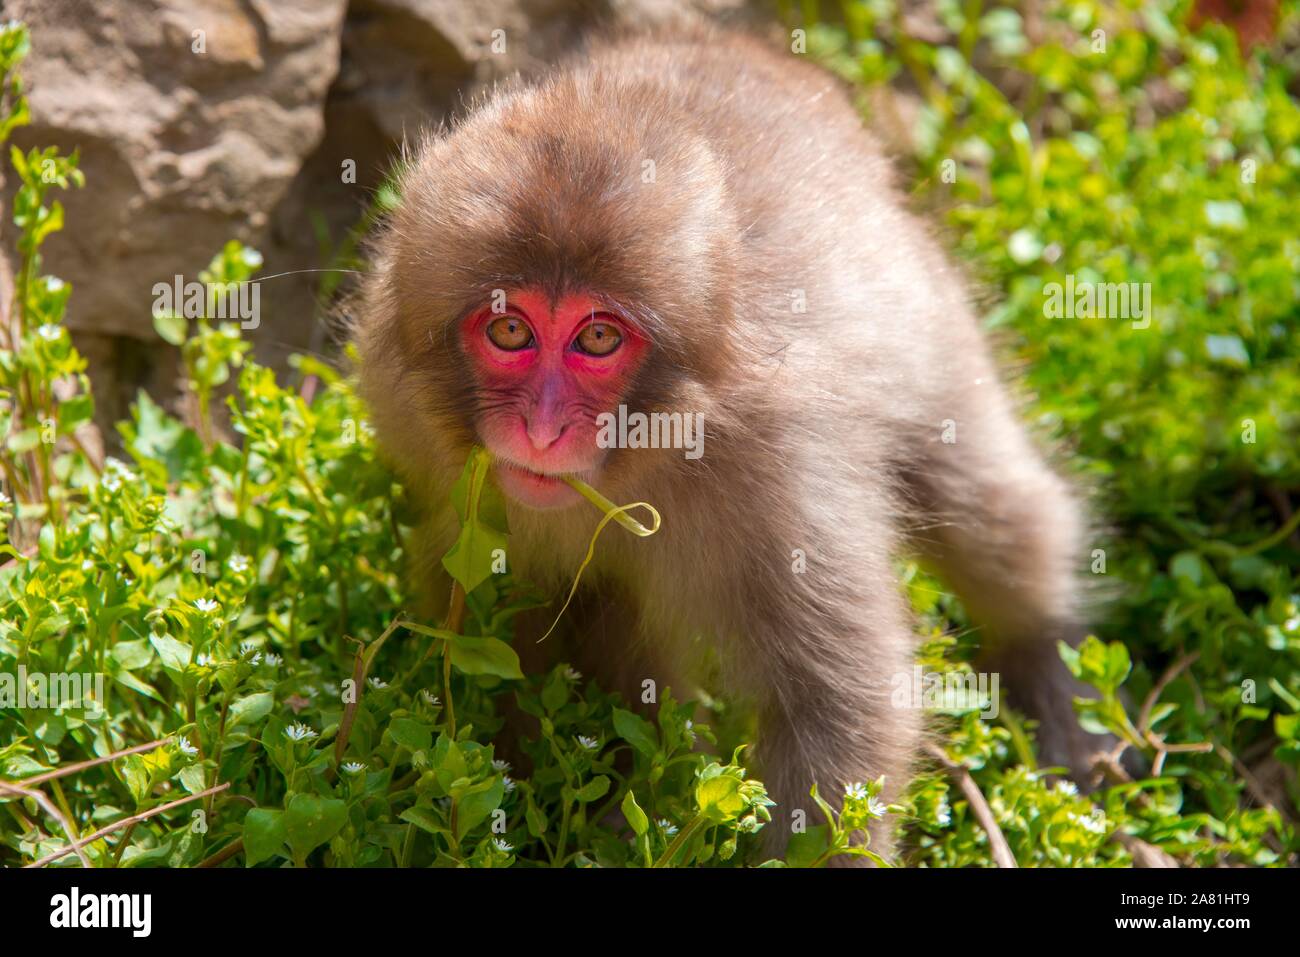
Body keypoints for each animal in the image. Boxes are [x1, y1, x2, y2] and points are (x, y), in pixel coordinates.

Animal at [352, 26, 1107, 861]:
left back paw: (1049, 663)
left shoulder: (783, 474)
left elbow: (837, 701)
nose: (542, 430)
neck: (635, 468)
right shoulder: (426, 442)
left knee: (988, 506)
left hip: (929, 319)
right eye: (510, 329)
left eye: (598, 338)